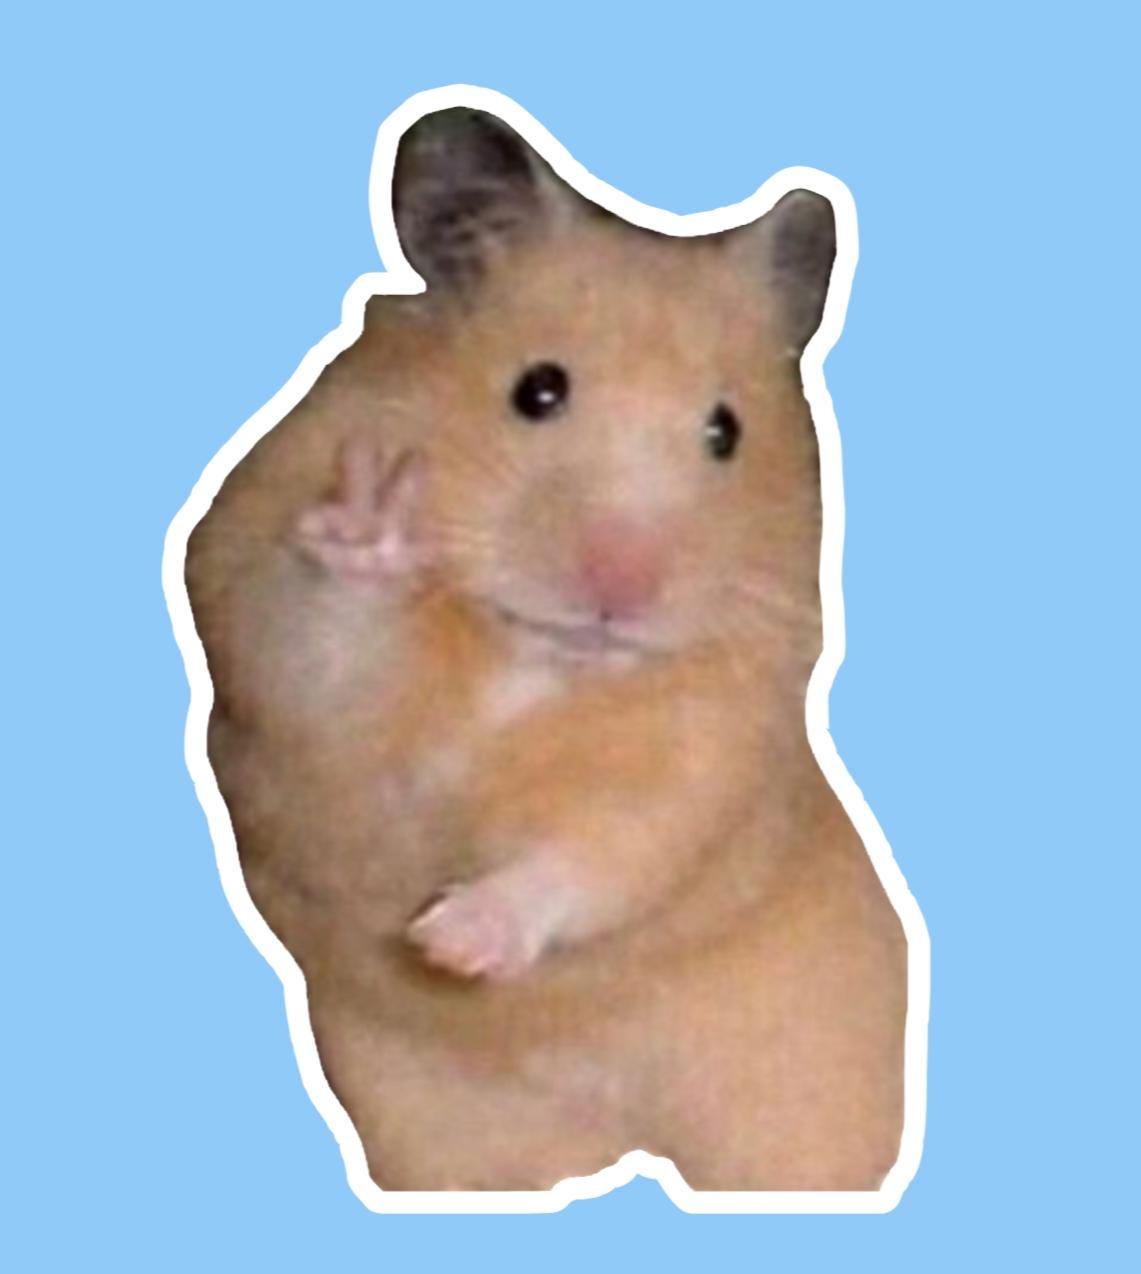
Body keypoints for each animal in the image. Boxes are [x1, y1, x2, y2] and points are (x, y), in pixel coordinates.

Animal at [185, 109, 907, 1192]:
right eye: (537, 390)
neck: (536, 661)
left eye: (724, 431)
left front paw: (450, 943)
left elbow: (597, 854)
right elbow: (327, 637)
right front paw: (377, 523)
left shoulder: (705, 758)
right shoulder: (269, 643)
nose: (619, 590)